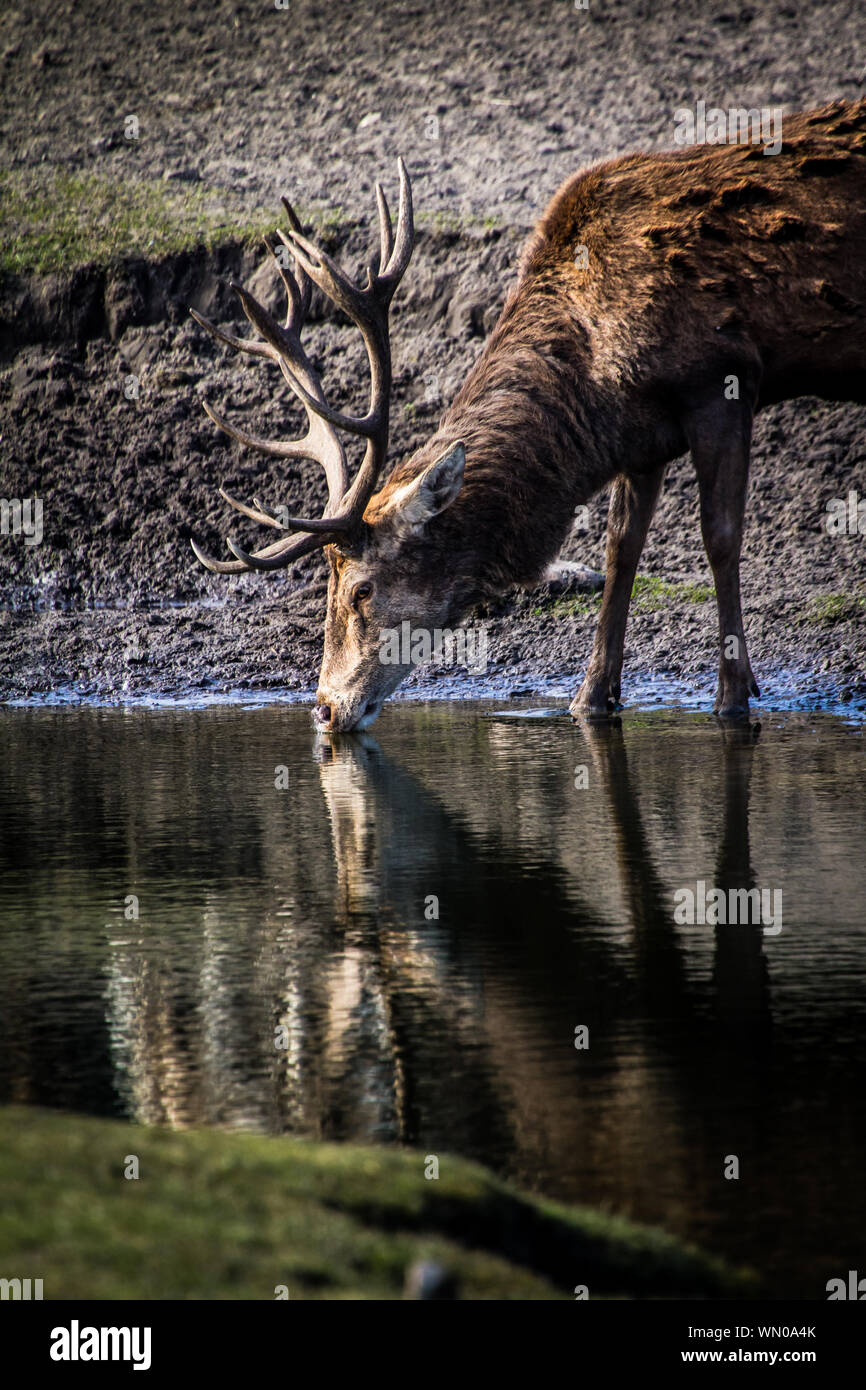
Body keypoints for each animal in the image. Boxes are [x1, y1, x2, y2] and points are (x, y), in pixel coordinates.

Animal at [188, 97, 866, 731]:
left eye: (361, 589)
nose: (324, 709)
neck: (597, 376)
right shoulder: (642, 435)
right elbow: (622, 548)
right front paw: (589, 699)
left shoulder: (722, 379)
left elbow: (720, 537)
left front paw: (734, 697)